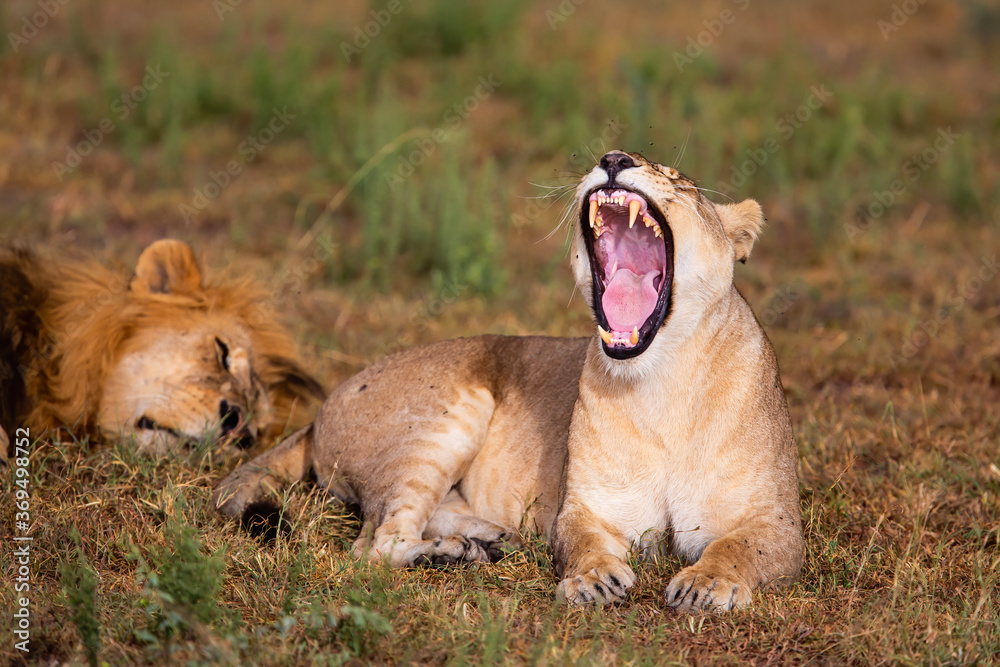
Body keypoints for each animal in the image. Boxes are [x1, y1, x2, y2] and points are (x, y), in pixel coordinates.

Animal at [214, 151, 804, 612]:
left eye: (679, 178)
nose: (614, 159)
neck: (662, 379)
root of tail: (318, 412)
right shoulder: (588, 507)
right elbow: (581, 540)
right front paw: (592, 580)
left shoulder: (777, 522)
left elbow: (736, 548)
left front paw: (706, 585)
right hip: (449, 416)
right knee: (374, 546)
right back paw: (453, 555)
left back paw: (492, 540)